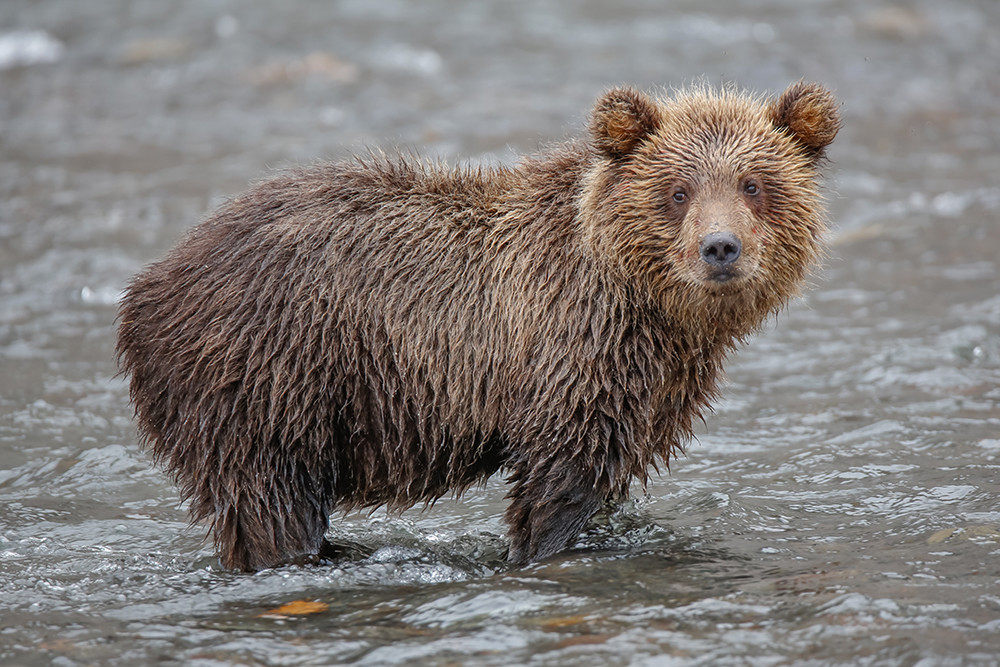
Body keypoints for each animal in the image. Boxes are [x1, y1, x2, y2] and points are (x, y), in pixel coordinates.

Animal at [117, 81, 840, 571]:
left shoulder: (652, 381)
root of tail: (146, 286)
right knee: (270, 499)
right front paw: (540, 547)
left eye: (753, 183)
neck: (649, 305)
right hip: (266, 376)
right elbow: (561, 478)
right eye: (678, 190)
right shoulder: (572, 350)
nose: (720, 248)